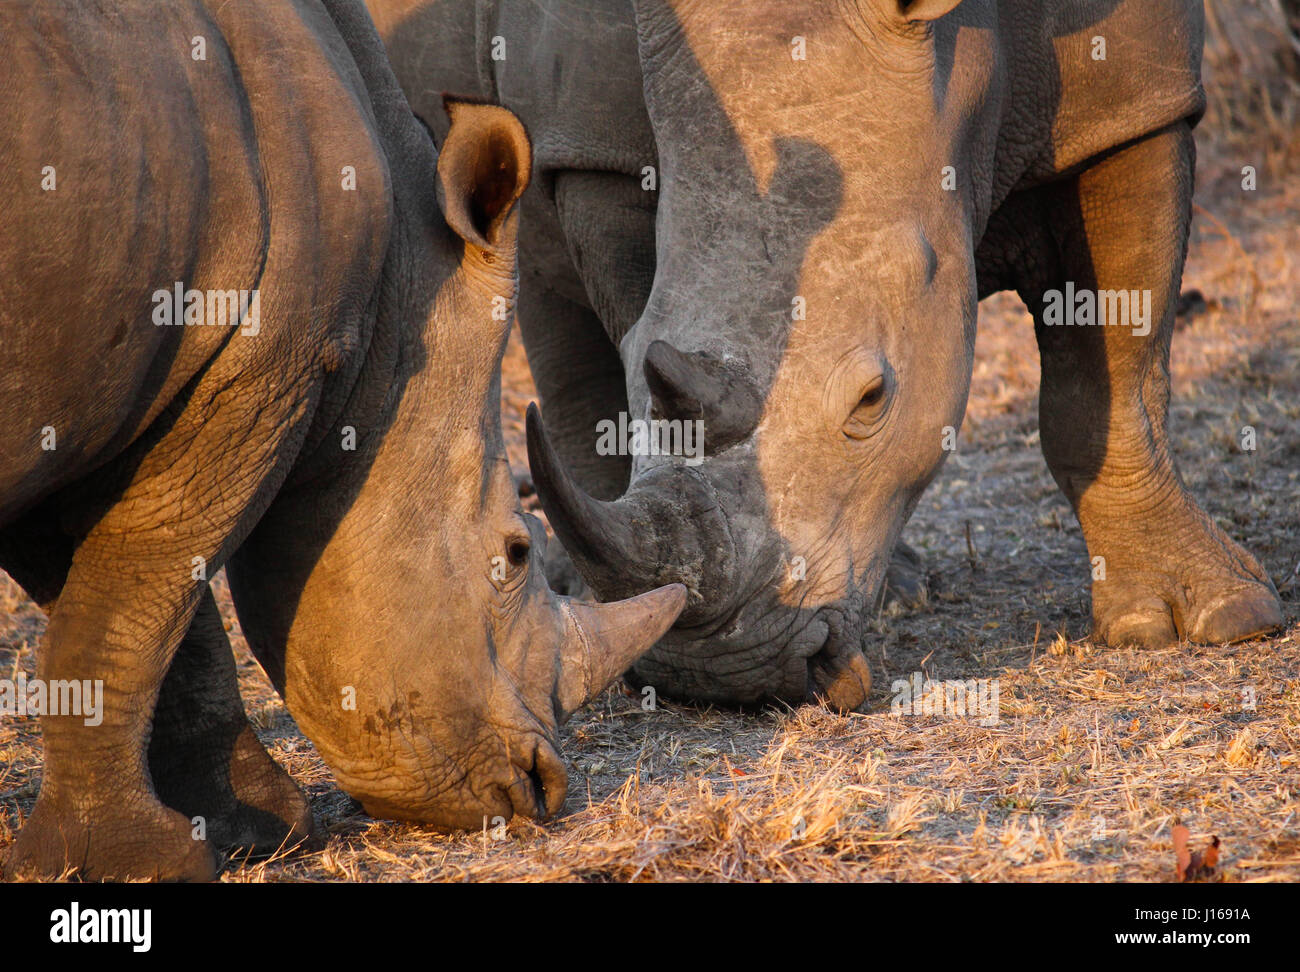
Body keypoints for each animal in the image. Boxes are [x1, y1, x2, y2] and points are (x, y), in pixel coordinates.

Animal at [0, 0, 684, 882]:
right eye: (514, 552)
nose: (540, 792)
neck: (397, 299)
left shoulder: (99, 392)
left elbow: (138, 605)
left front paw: (257, 827)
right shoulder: (253, 371)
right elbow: (139, 596)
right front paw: (130, 863)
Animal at [370, 0, 1283, 712]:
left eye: (873, 399)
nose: (723, 676)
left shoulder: (1136, 98)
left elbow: (1114, 371)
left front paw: (1208, 620)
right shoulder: (595, 145)